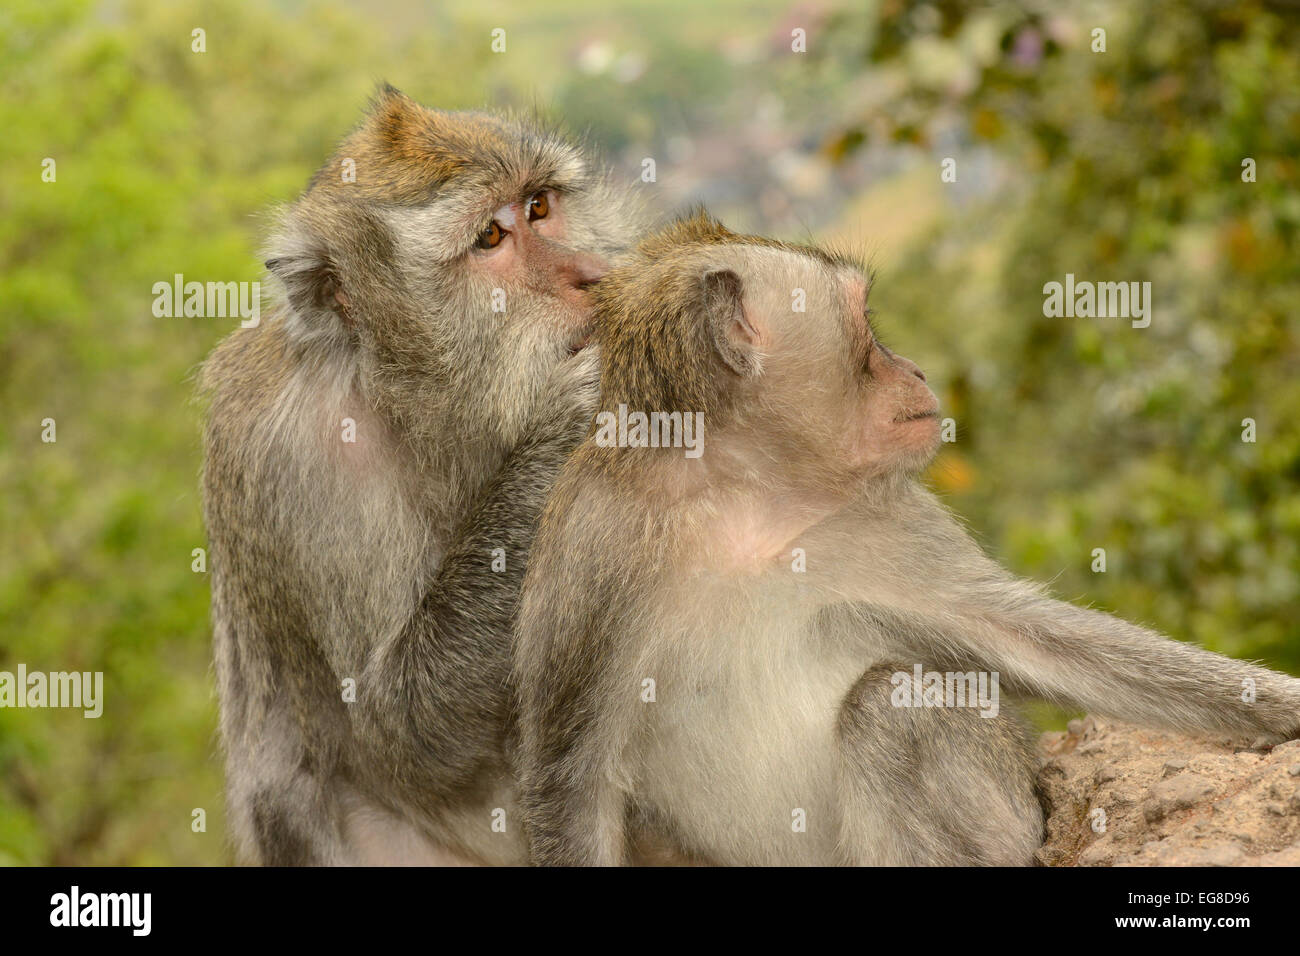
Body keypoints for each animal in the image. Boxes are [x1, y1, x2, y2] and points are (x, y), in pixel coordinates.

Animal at [199, 84, 647, 865]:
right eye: (489, 239)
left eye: (539, 206)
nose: (593, 276)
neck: (406, 399)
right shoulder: (296, 462)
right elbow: (398, 730)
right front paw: (568, 413)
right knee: (290, 795)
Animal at [513, 212, 1300, 866]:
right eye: (867, 329)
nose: (916, 369)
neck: (747, 501)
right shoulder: (592, 545)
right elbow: (568, 778)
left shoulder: (891, 519)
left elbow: (1026, 636)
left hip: (1015, 819)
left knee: (892, 708)